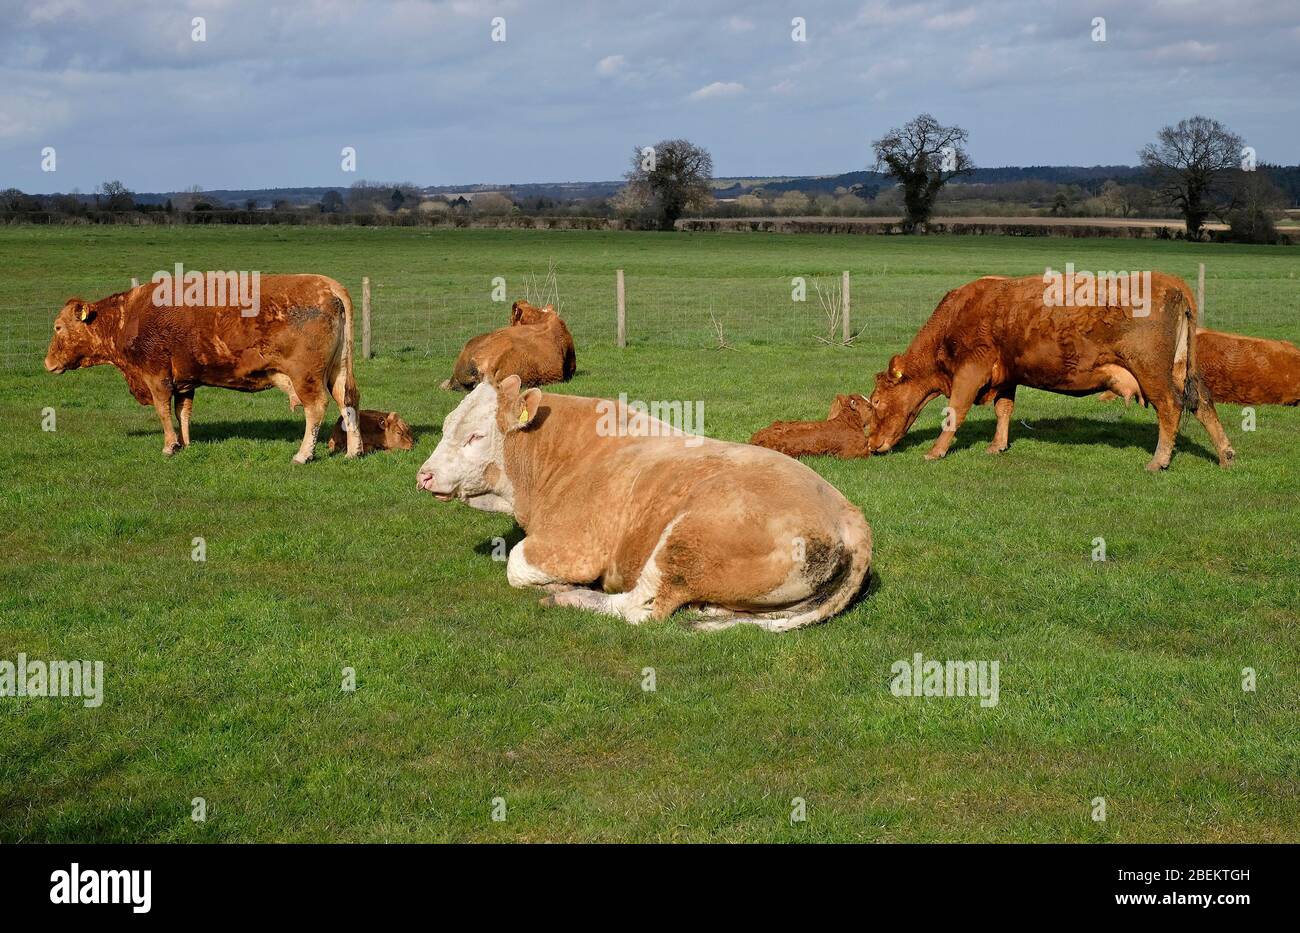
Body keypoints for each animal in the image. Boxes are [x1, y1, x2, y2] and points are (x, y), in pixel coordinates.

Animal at [44, 274, 360, 462]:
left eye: (58, 327)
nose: (47, 363)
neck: (129, 316)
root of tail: (327, 285)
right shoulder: (185, 381)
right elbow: (182, 412)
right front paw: (185, 443)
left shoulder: (156, 377)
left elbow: (163, 411)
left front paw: (169, 445)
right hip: (337, 372)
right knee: (348, 402)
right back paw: (353, 451)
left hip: (306, 376)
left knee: (316, 408)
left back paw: (303, 454)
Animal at [416, 376, 872, 632]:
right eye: (446, 426)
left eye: (475, 436)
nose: (424, 475)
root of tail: (849, 515)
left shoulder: (574, 546)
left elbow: (515, 564)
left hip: (683, 543)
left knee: (642, 608)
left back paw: (569, 597)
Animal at [865, 273, 1235, 471]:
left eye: (877, 402)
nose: (870, 444)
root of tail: (1171, 282)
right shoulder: (1007, 375)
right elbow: (1004, 409)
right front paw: (997, 445)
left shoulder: (971, 370)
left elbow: (955, 411)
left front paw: (936, 451)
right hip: (1183, 369)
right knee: (1202, 403)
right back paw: (1226, 455)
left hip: (1152, 371)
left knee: (1171, 407)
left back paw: (1159, 461)